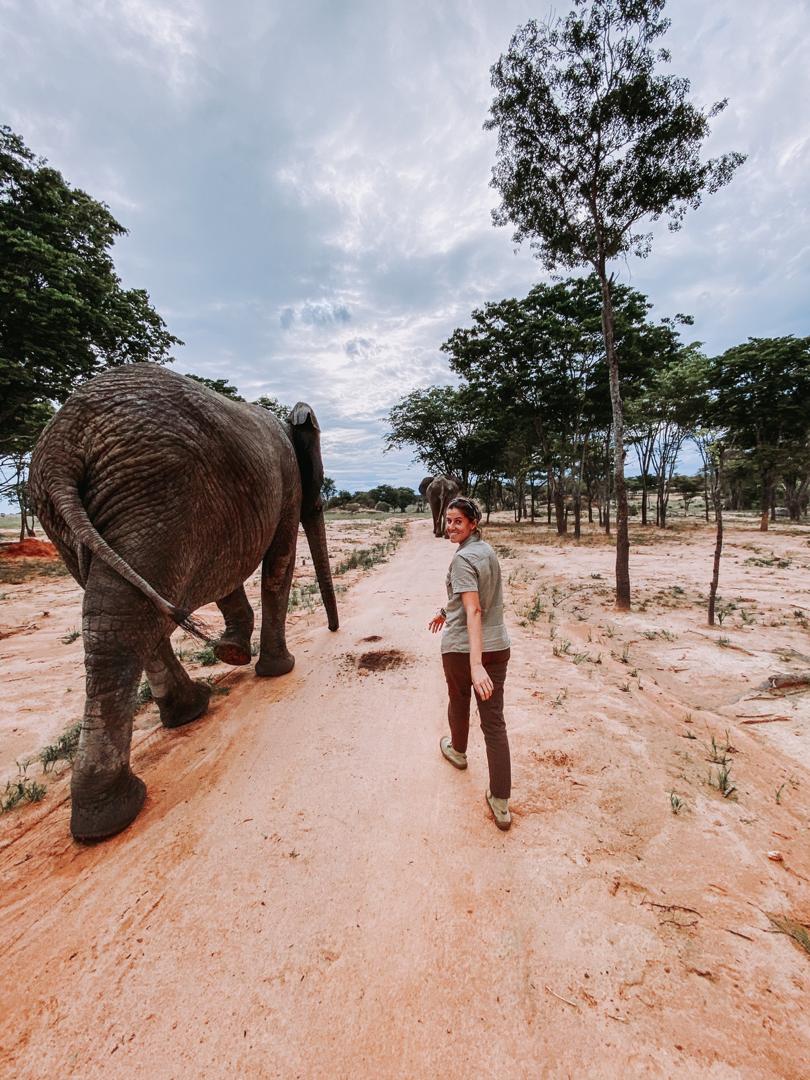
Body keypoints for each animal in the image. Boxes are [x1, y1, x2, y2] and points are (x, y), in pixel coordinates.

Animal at [29, 363, 339, 842]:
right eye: (318, 484)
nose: (333, 629)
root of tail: (63, 442)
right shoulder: (286, 483)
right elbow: (278, 561)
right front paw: (277, 670)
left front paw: (232, 653)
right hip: (156, 489)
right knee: (129, 615)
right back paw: (112, 815)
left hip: (91, 510)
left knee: (123, 608)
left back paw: (184, 714)